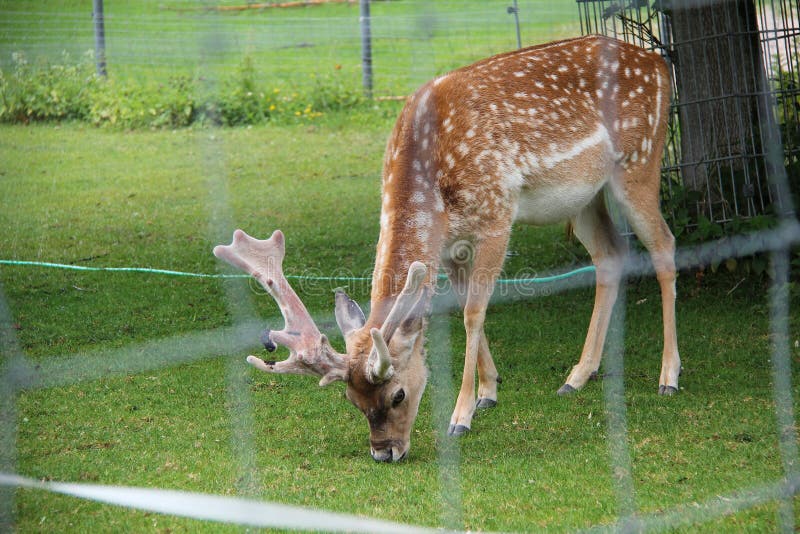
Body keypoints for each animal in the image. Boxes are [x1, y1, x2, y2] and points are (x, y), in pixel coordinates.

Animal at [213, 34, 680, 462]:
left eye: (398, 395)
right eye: (351, 401)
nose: (384, 453)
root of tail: (659, 62)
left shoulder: (496, 216)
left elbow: (474, 311)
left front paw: (462, 416)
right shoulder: (449, 244)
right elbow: (460, 303)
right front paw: (489, 391)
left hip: (639, 163)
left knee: (665, 246)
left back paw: (668, 376)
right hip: (584, 198)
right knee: (611, 255)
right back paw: (578, 376)